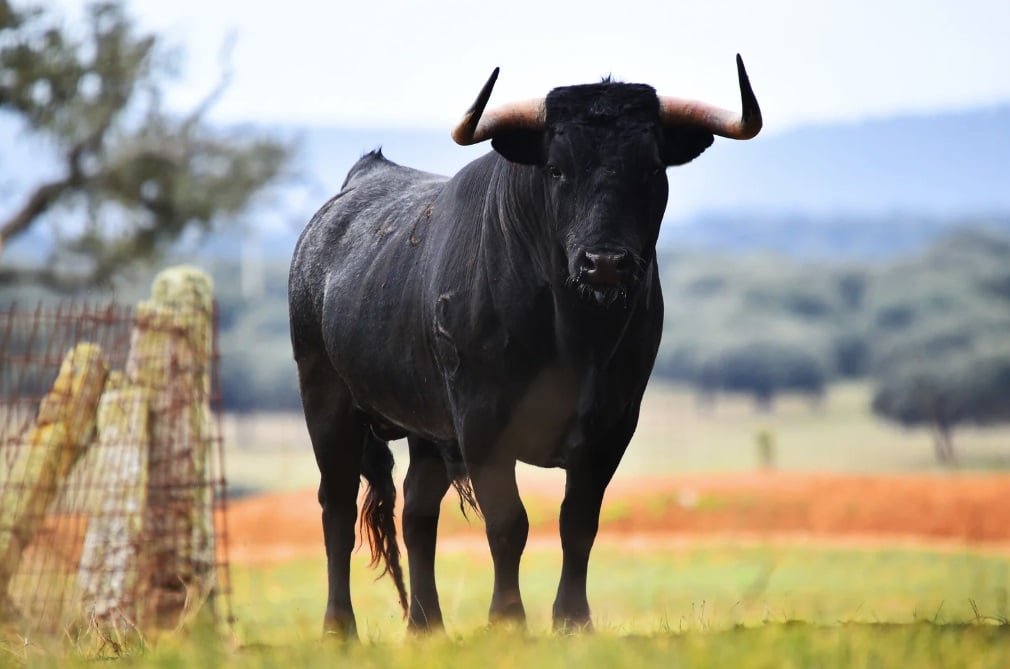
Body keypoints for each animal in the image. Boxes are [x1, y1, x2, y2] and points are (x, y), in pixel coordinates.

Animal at [288, 55, 762, 638]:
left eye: (652, 168)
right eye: (556, 169)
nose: (605, 262)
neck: (575, 337)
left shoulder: (612, 424)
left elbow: (578, 522)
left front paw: (573, 620)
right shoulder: (483, 423)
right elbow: (508, 522)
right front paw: (508, 619)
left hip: (427, 429)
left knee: (418, 514)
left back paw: (426, 626)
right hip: (326, 399)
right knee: (335, 506)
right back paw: (340, 628)